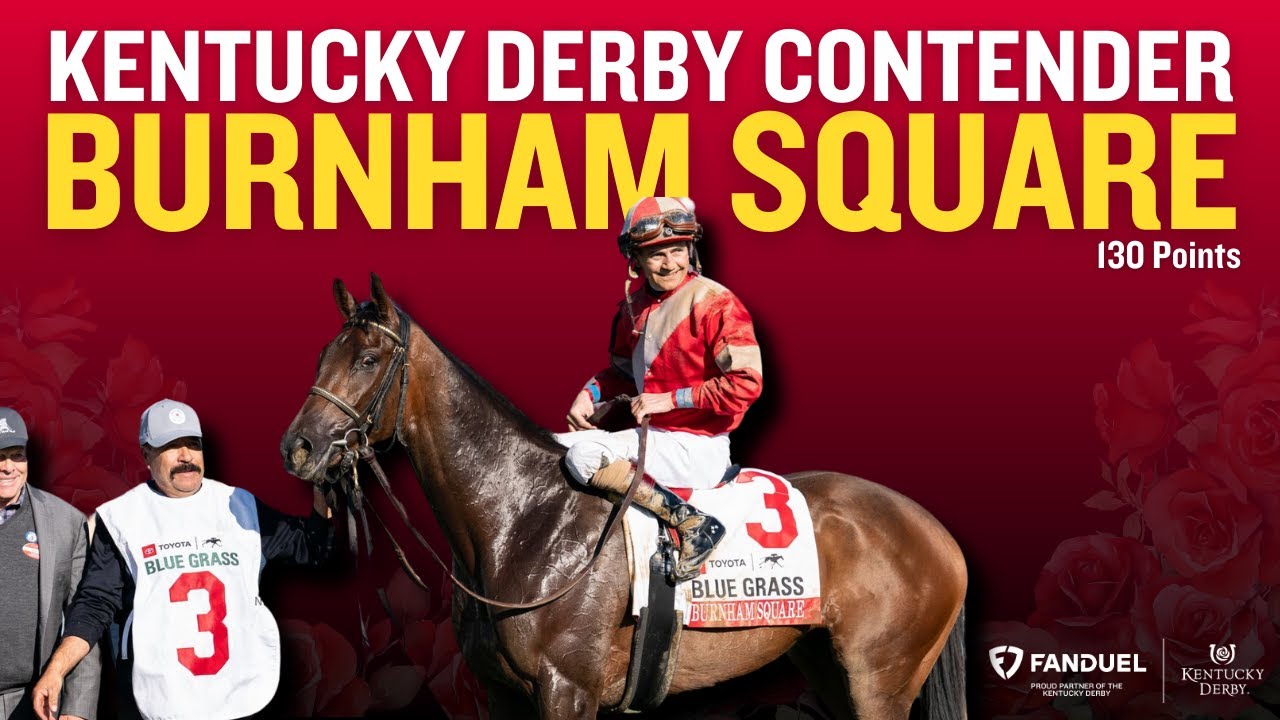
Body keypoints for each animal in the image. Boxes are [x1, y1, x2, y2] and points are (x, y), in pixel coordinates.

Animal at [281, 275, 968, 720]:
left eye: (368, 359)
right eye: (322, 354)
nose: (299, 447)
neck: (519, 518)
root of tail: (935, 529)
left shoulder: (567, 689)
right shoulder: (500, 695)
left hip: (881, 681)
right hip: (828, 666)